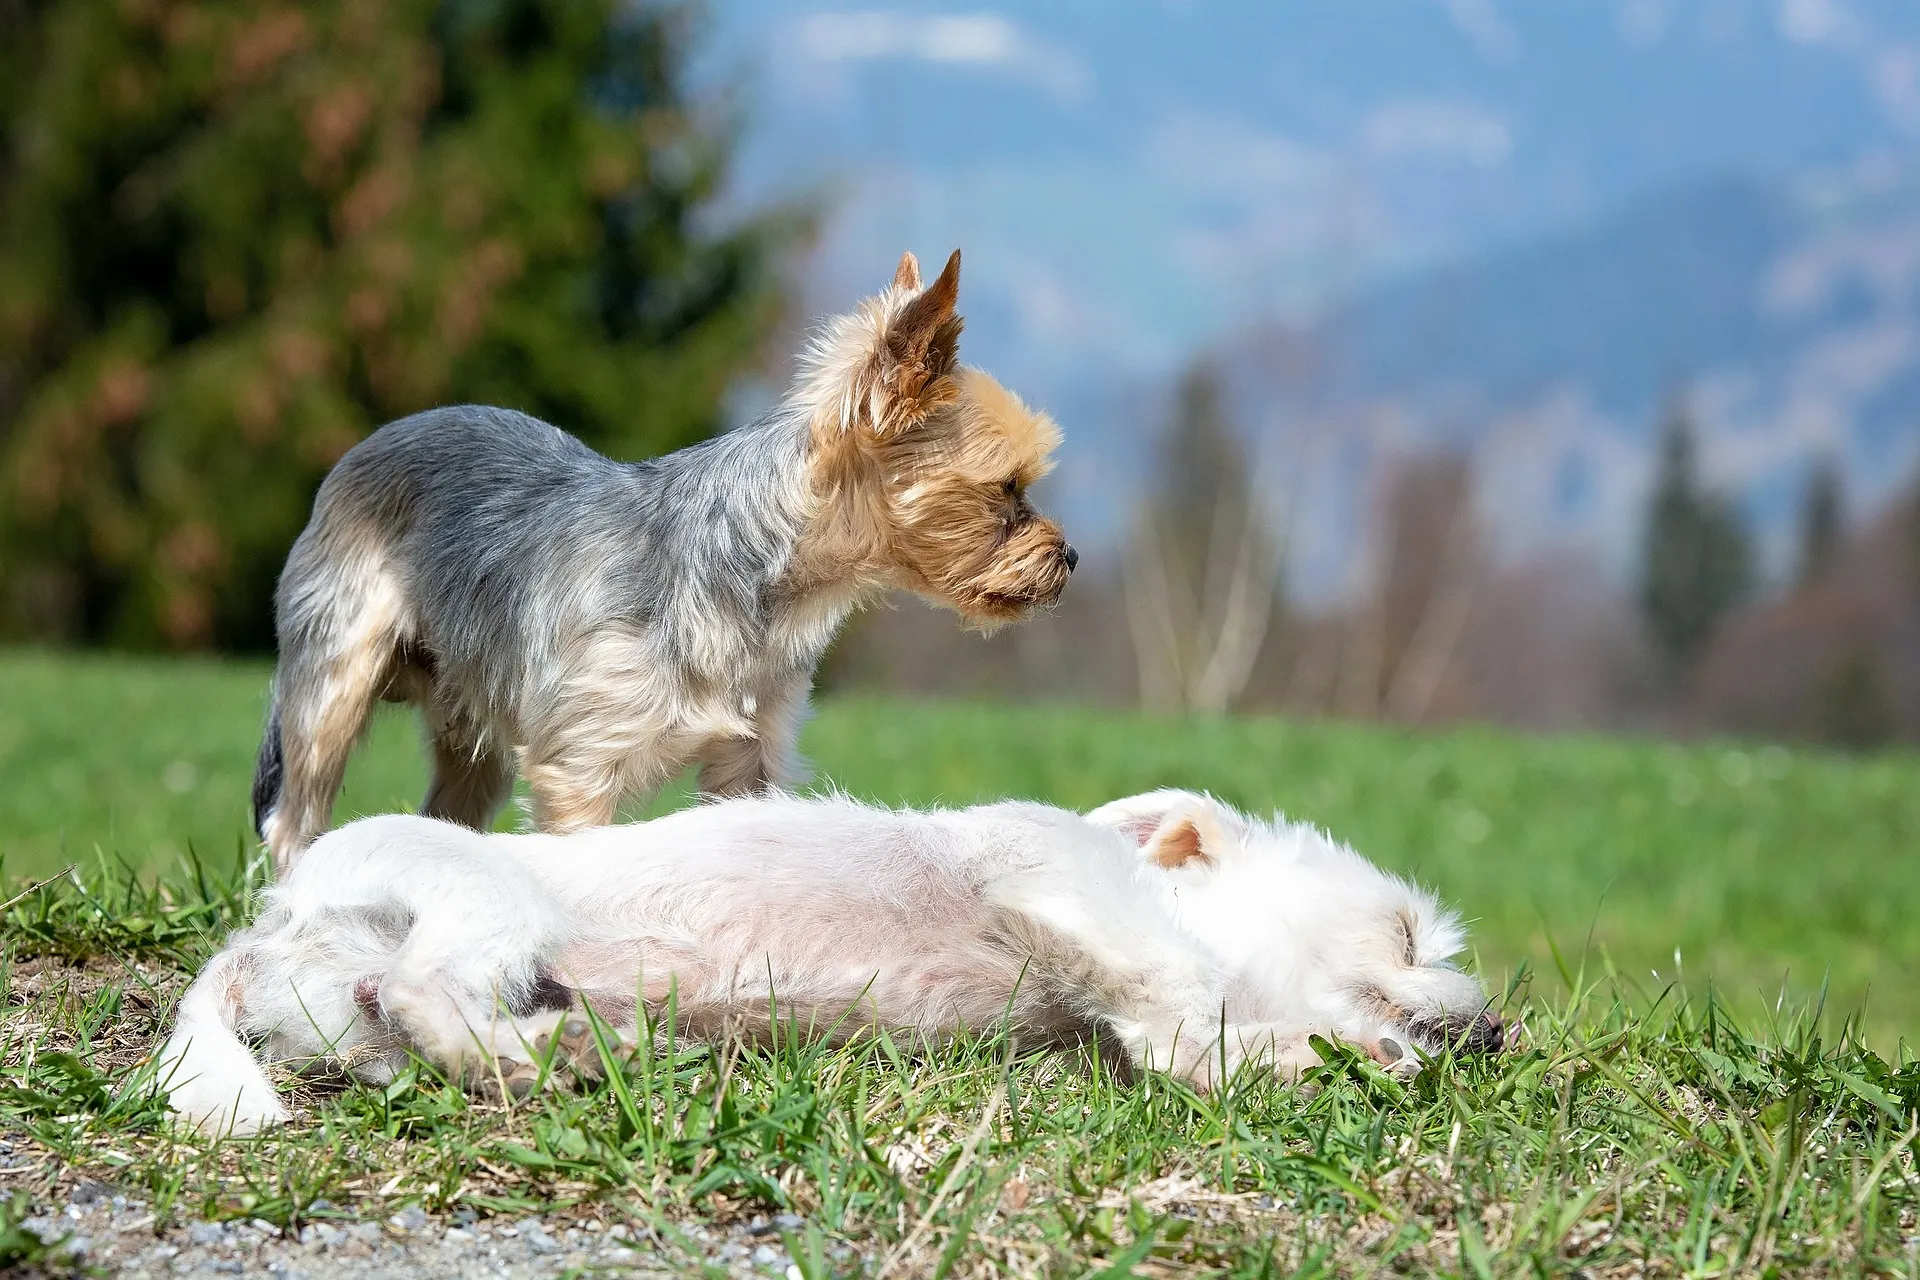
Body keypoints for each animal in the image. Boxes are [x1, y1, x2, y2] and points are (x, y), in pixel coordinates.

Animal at [157, 790, 1497, 1128]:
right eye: (1408, 932)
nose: (1496, 1033)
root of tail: (270, 923)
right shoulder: (1051, 880)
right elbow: (1181, 1007)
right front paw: (1330, 1050)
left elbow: (1183, 1037)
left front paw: (1325, 1053)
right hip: (488, 904)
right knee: (425, 987)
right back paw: (551, 1055)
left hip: (353, 1008)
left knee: (394, 1025)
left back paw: (573, 1044)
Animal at [251, 249, 1082, 871]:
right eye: (1008, 488)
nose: (1071, 555)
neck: (756, 579)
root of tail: (365, 446)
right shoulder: (579, 768)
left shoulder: (750, 762)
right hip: (333, 678)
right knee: (294, 818)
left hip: (469, 724)